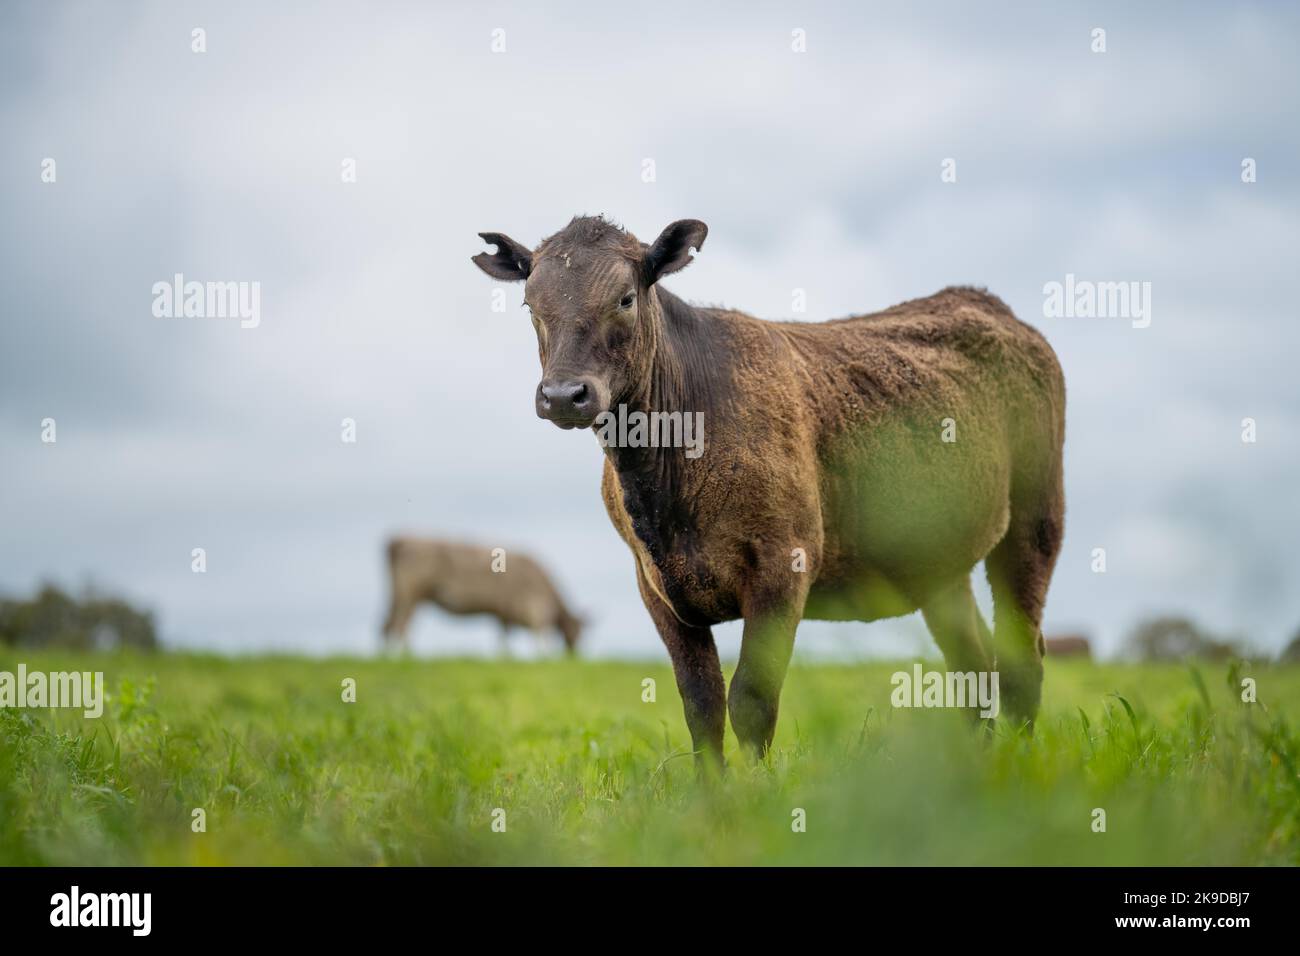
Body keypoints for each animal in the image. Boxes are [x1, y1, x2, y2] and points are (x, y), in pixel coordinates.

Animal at [382, 537, 583, 655]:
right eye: (576, 631)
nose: (573, 655)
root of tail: (399, 541)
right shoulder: (532, 606)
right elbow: (541, 634)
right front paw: (544, 656)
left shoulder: (504, 612)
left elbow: (504, 637)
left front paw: (506, 656)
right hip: (410, 593)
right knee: (400, 624)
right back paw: (404, 656)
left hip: (405, 595)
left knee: (392, 624)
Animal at [473, 216, 1065, 769]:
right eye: (530, 304)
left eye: (624, 298)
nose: (562, 395)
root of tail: (981, 298)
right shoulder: (652, 582)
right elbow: (702, 705)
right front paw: (712, 803)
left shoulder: (785, 562)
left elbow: (752, 701)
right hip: (937, 565)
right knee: (973, 664)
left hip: (1036, 519)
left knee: (1022, 658)